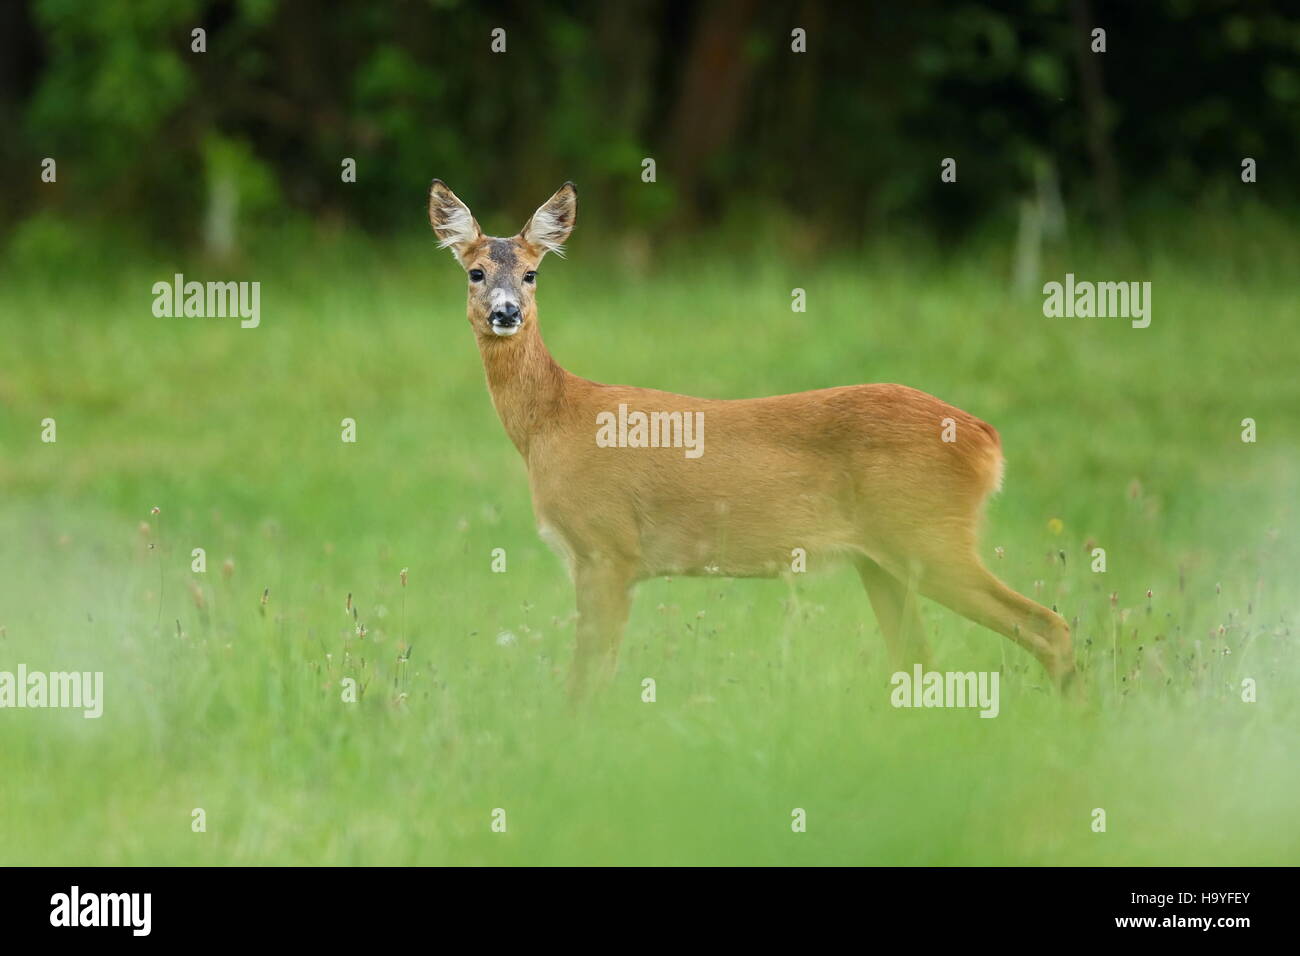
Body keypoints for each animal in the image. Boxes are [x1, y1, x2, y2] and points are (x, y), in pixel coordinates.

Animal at [427, 179, 1075, 696]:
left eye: (531, 273)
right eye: (475, 272)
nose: (506, 312)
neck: (552, 422)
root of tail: (987, 439)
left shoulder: (607, 547)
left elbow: (586, 681)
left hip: (929, 534)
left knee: (1049, 625)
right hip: (884, 559)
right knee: (920, 657)